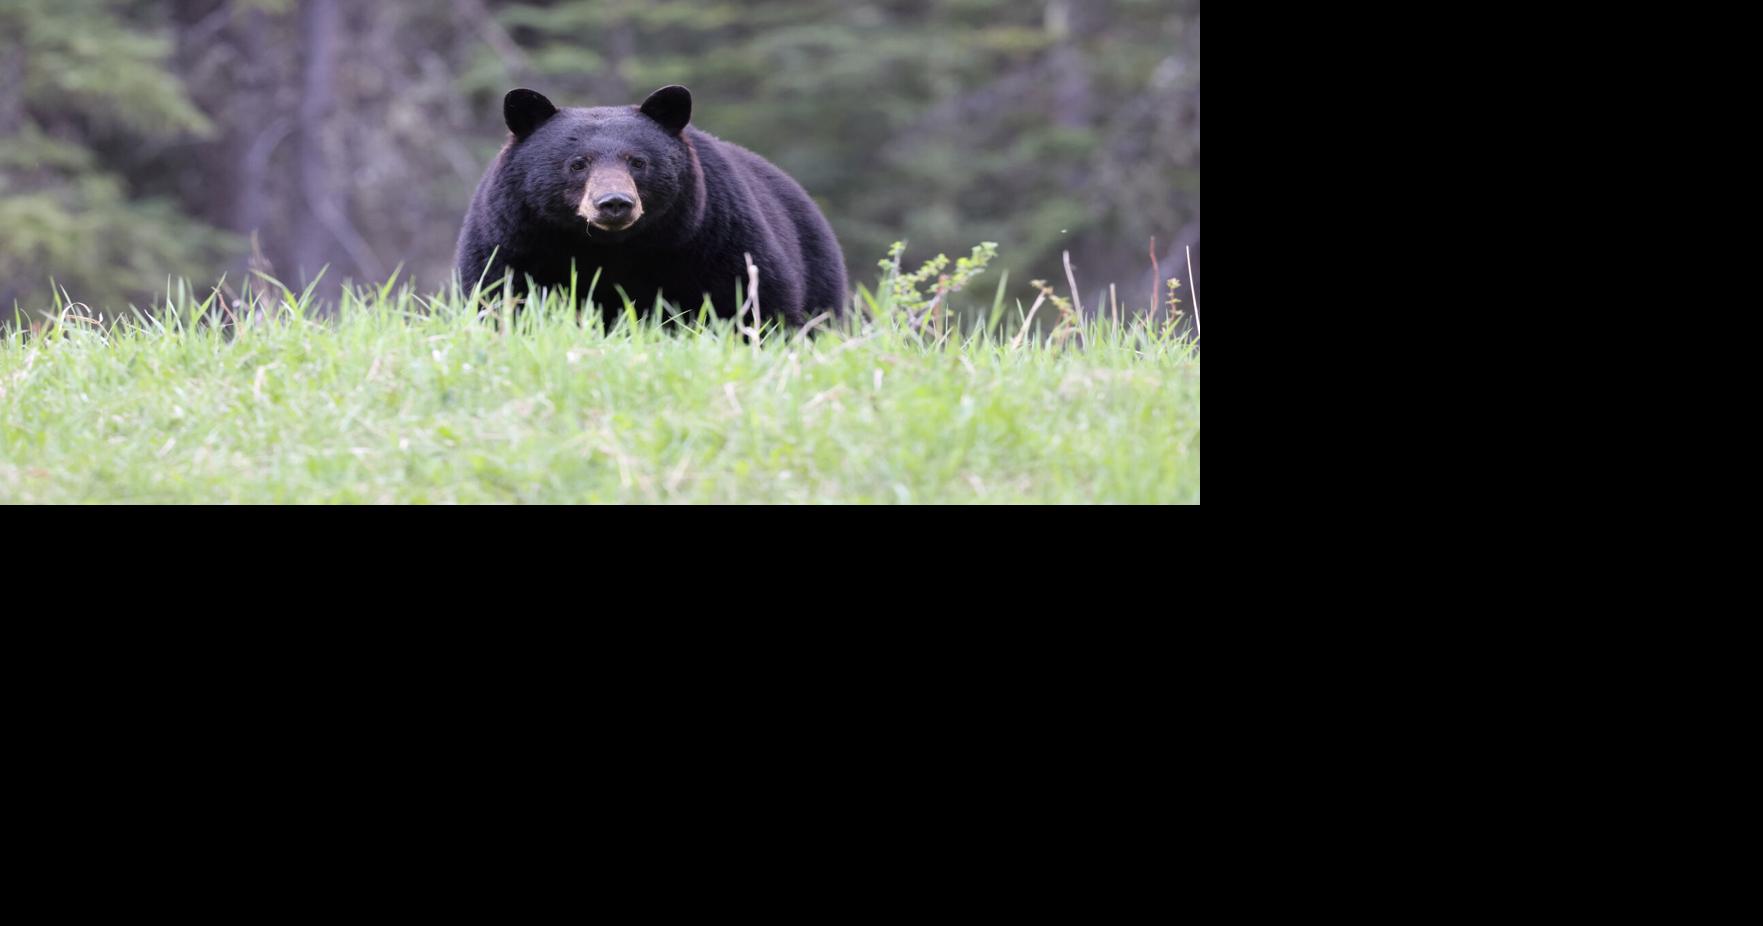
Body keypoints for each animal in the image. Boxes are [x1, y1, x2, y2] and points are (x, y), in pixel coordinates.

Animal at [455, 85, 848, 327]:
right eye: (578, 163)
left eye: (638, 162)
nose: (614, 203)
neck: (609, 248)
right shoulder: (513, 243)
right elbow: (498, 298)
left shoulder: (715, 238)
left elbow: (752, 301)